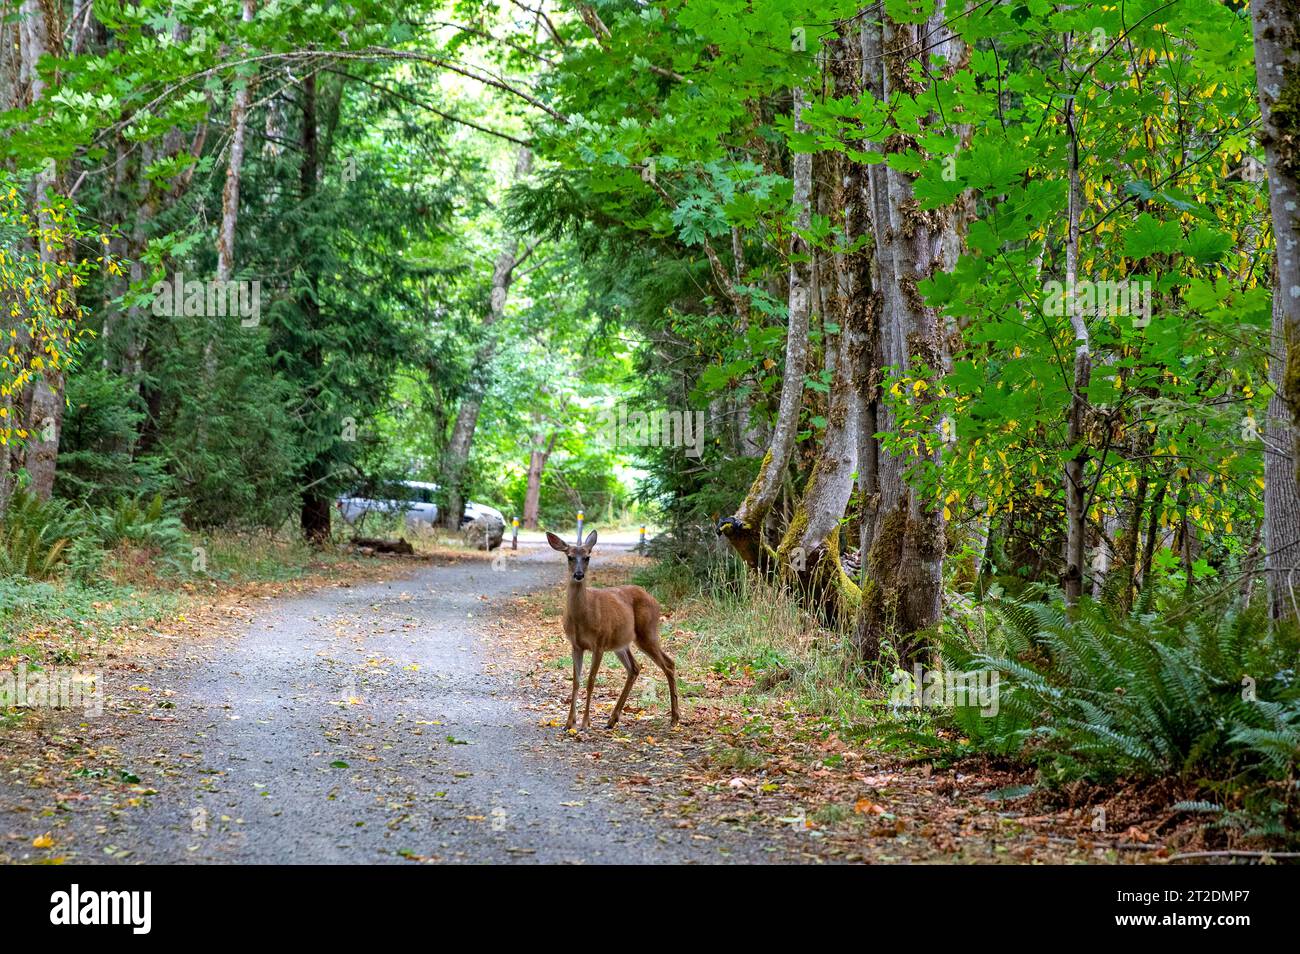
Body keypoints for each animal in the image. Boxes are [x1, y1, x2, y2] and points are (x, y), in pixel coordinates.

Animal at [546, 529, 680, 731]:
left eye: (587, 557)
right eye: (569, 557)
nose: (578, 574)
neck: (581, 617)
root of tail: (654, 600)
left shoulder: (599, 643)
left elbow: (591, 680)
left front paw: (585, 723)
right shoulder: (576, 645)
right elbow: (576, 681)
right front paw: (569, 723)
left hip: (647, 632)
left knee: (668, 664)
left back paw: (674, 718)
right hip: (621, 643)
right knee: (635, 668)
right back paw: (612, 720)